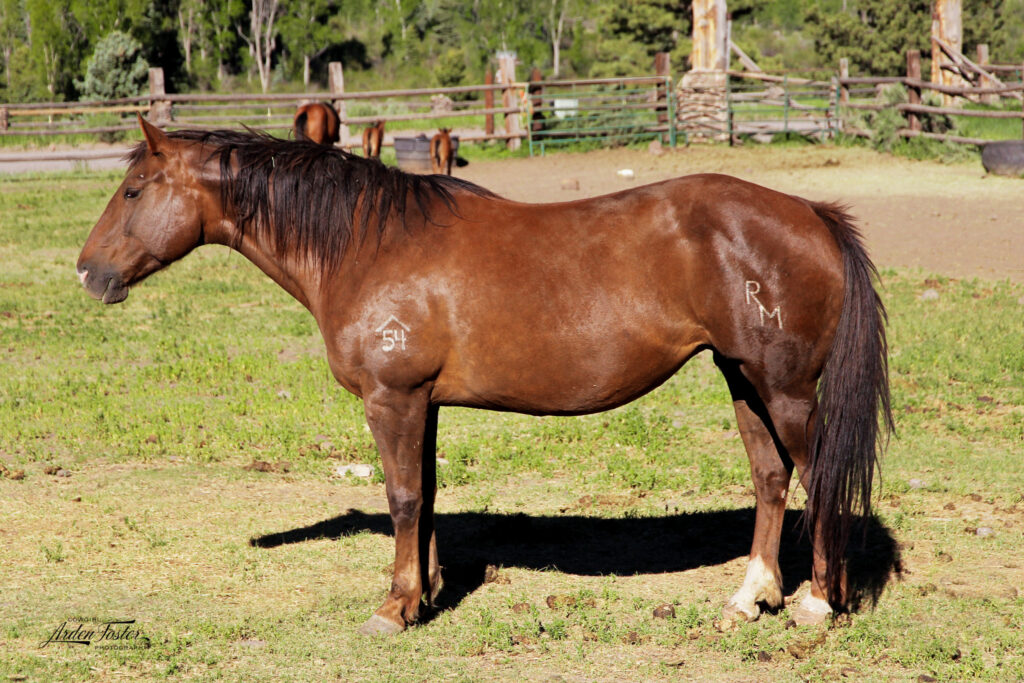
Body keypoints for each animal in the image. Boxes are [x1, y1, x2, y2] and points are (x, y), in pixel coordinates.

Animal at [78, 117, 892, 636]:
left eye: (134, 190)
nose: (88, 273)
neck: (369, 245)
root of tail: (810, 213)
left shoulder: (393, 400)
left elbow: (404, 497)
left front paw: (395, 607)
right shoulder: (424, 404)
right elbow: (429, 494)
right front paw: (429, 592)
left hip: (783, 388)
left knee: (816, 474)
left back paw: (818, 603)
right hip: (742, 378)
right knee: (769, 475)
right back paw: (752, 596)